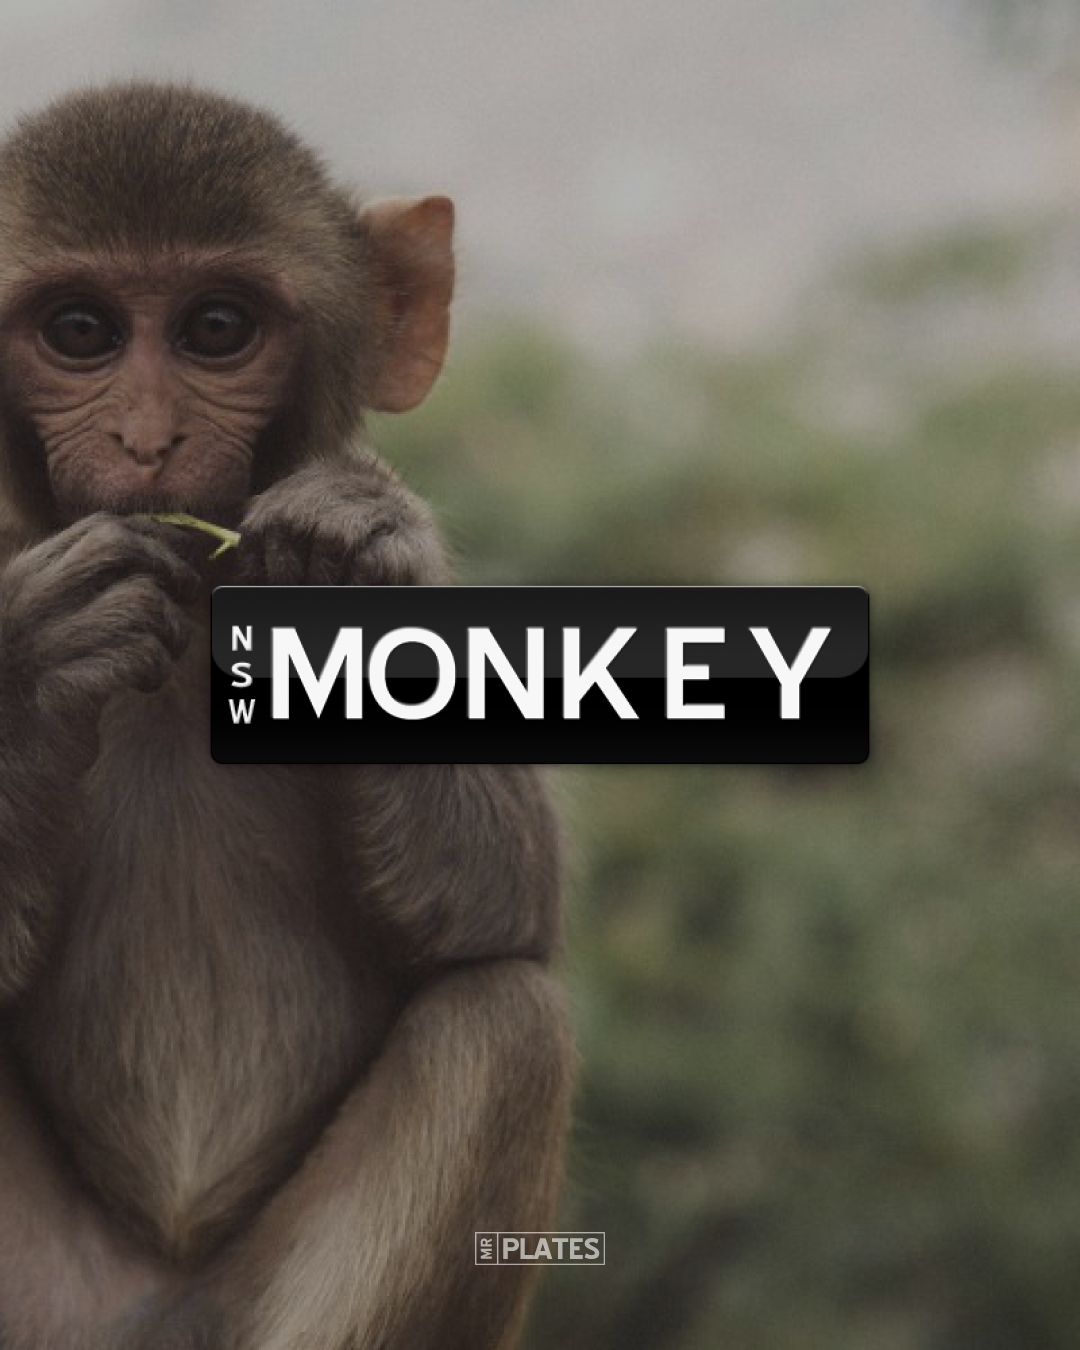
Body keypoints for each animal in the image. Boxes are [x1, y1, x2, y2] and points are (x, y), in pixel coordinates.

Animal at [0, 82, 571, 1350]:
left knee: (502, 1024)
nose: (148, 441)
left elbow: (510, 900)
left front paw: (352, 554)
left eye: (217, 329)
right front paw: (36, 659)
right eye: (80, 332)